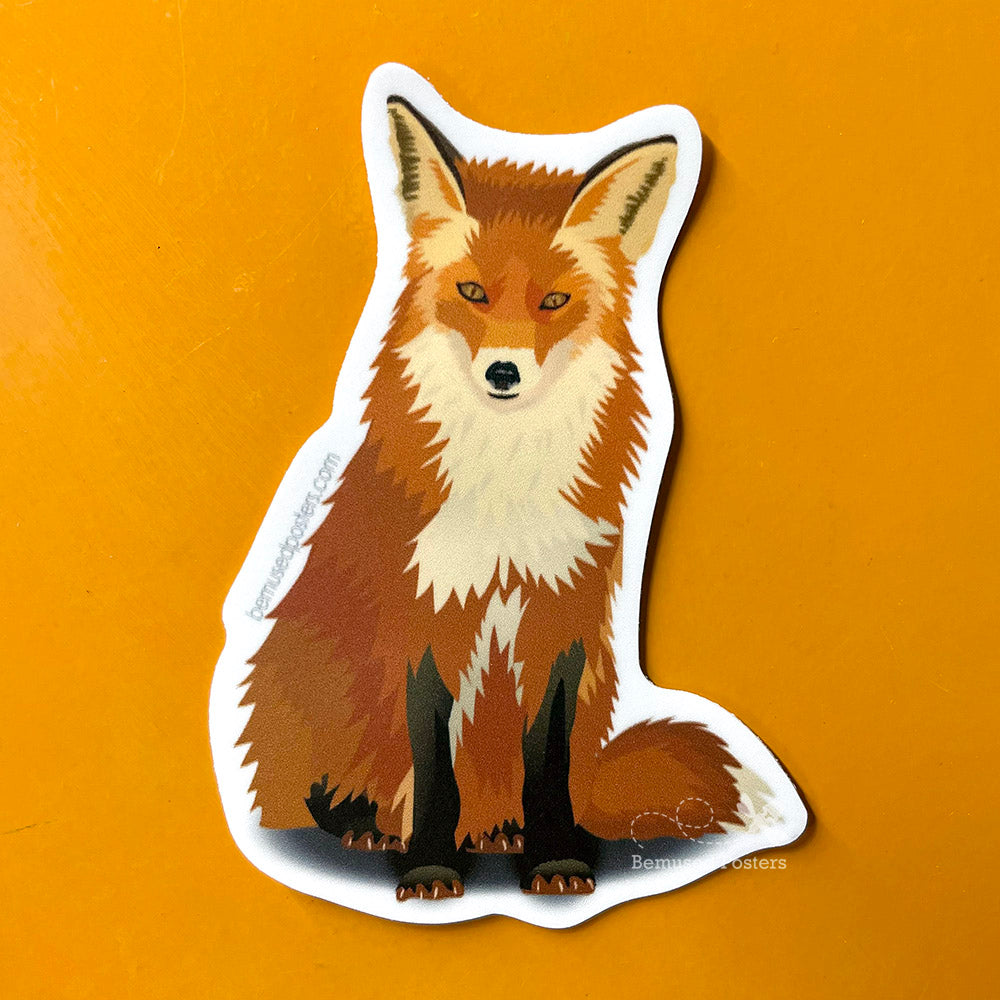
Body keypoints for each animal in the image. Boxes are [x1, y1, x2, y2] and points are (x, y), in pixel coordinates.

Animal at [234, 95, 747, 902]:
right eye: (473, 293)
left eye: (554, 302)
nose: (503, 373)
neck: (505, 488)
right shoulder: (421, 614)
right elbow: (430, 765)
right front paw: (429, 867)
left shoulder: (561, 616)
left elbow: (549, 761)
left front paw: (555, 860)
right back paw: (363, 825)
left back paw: (497, 831)